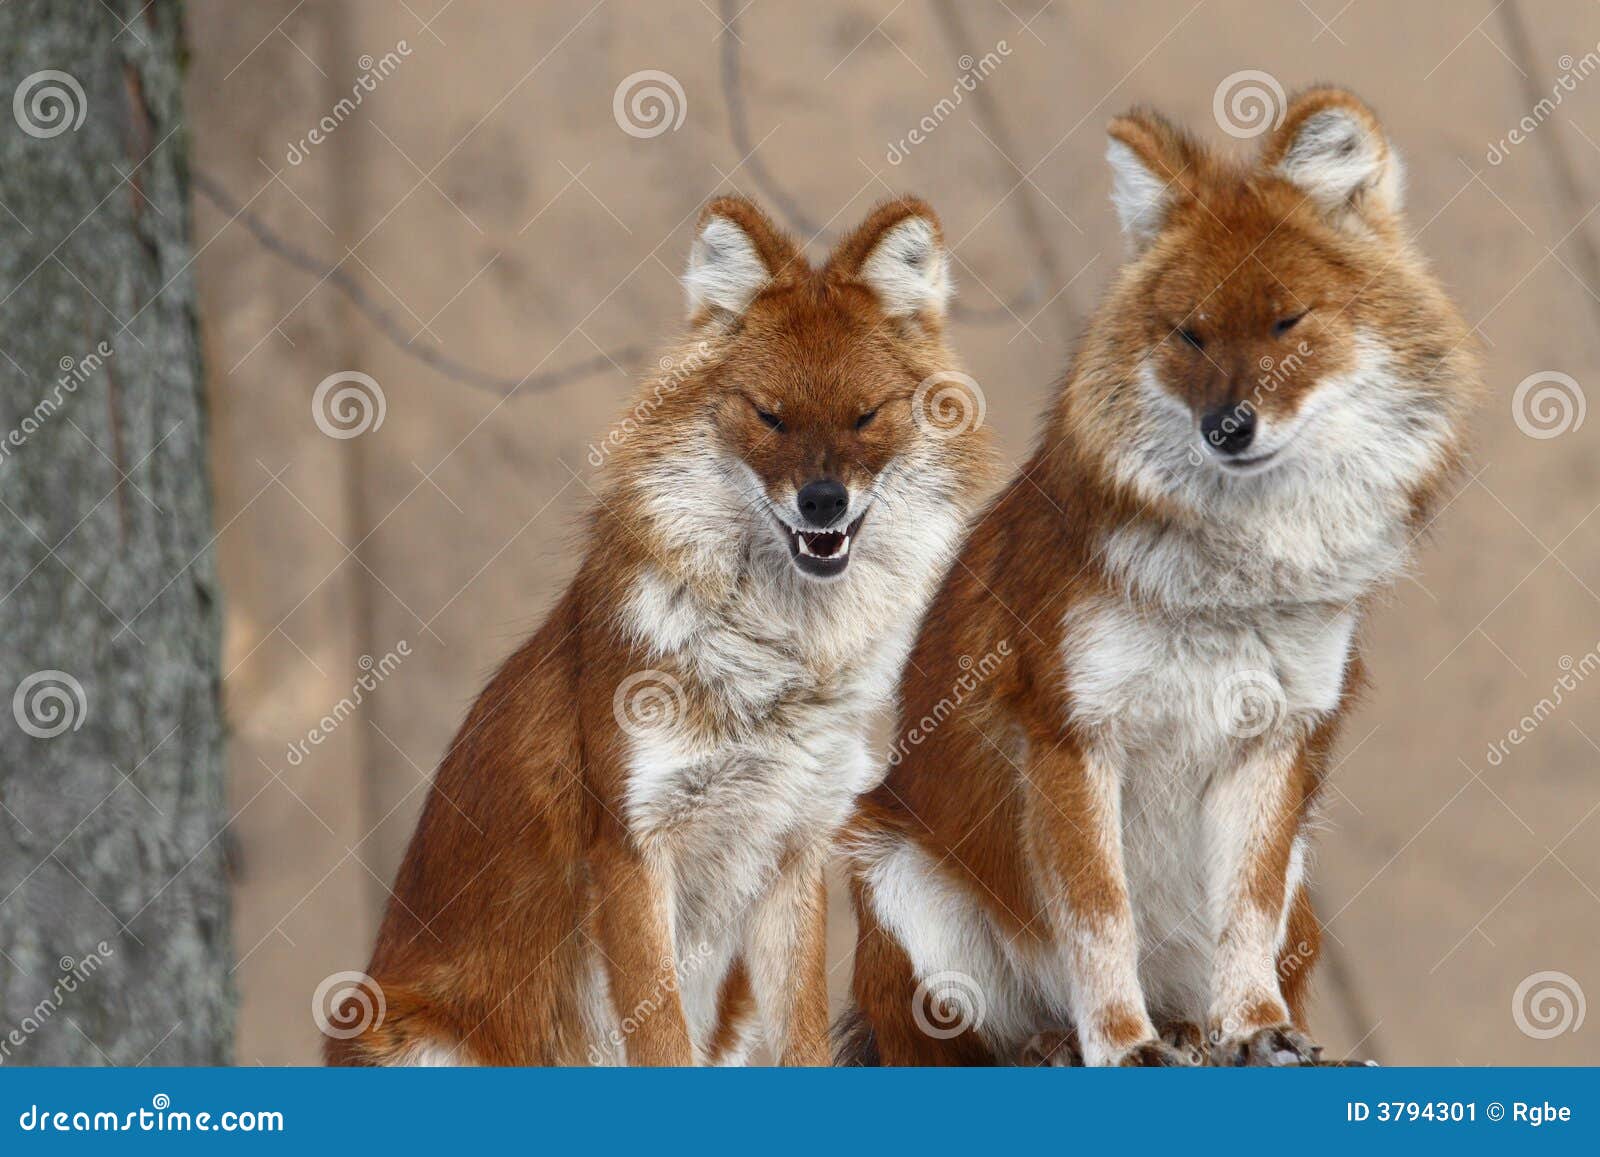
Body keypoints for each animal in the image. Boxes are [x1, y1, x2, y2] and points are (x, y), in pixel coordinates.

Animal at [324, 194, 994, 1066]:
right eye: (769, 416)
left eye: (864, 417)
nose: (823, 500)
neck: (775, 662)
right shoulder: (632, 848)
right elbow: (660, 1034)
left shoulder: (794, 848)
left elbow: (806, 1034)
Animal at [837, 89, 1481, 1067]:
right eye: (1190, 334)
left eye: (1288, 321)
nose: (1228, 426)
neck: (1235, 581)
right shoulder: (1072, 732)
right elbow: (1100, 913)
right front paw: (1120, 1042)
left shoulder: (1275, 738)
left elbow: (1242, 908)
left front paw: (1255, 1027)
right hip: (896, 872)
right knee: (958, 1041)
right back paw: (1058, 1043)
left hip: (1304, 888)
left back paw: (1189, 1028)